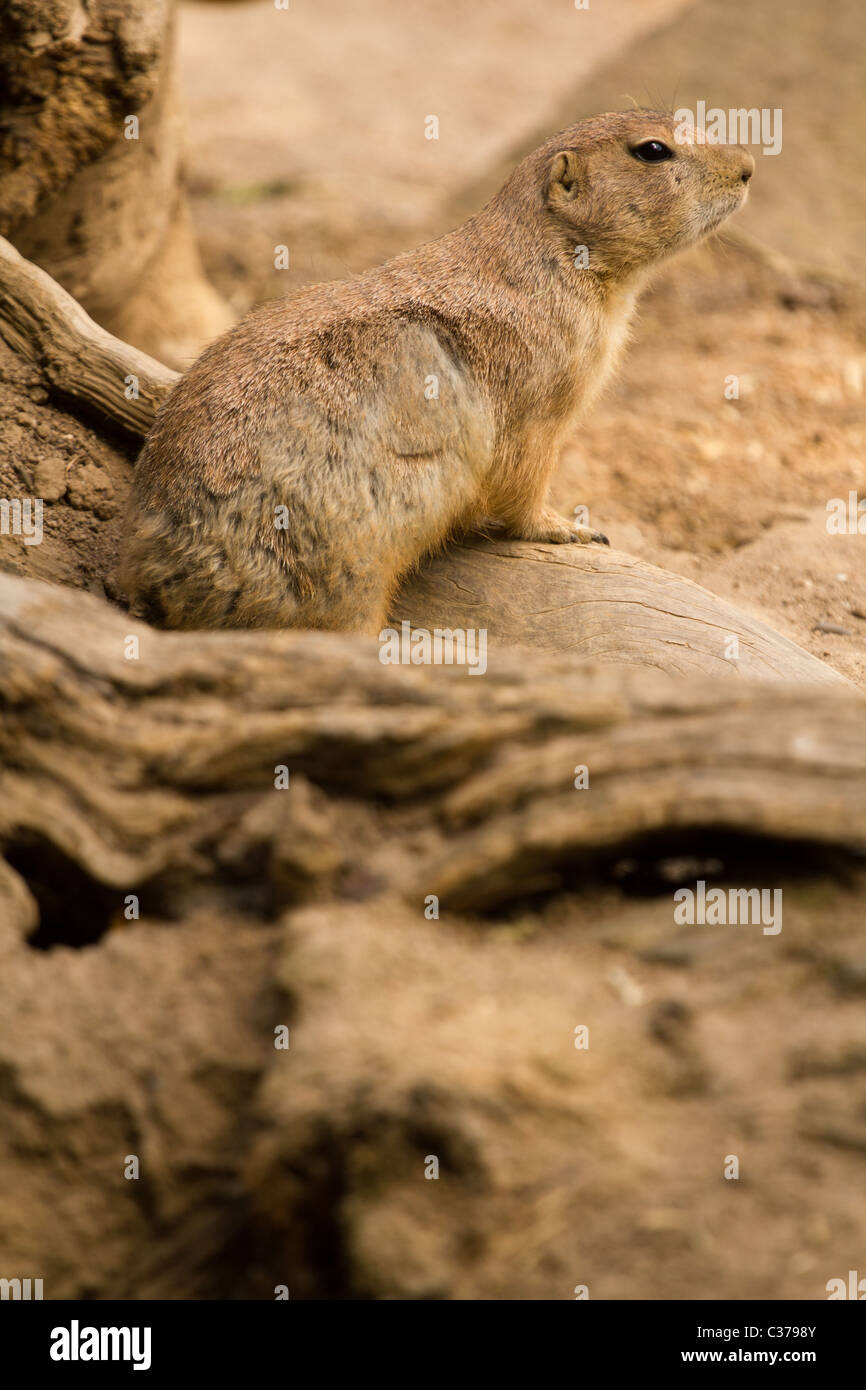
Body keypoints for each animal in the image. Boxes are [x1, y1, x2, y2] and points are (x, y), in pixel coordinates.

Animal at [118, 110, 753, 632]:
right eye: (653, 150)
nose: (748, 167)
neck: (555, 257)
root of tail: (151, 566)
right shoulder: (541, 401)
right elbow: (522, 478)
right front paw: (571, 528)